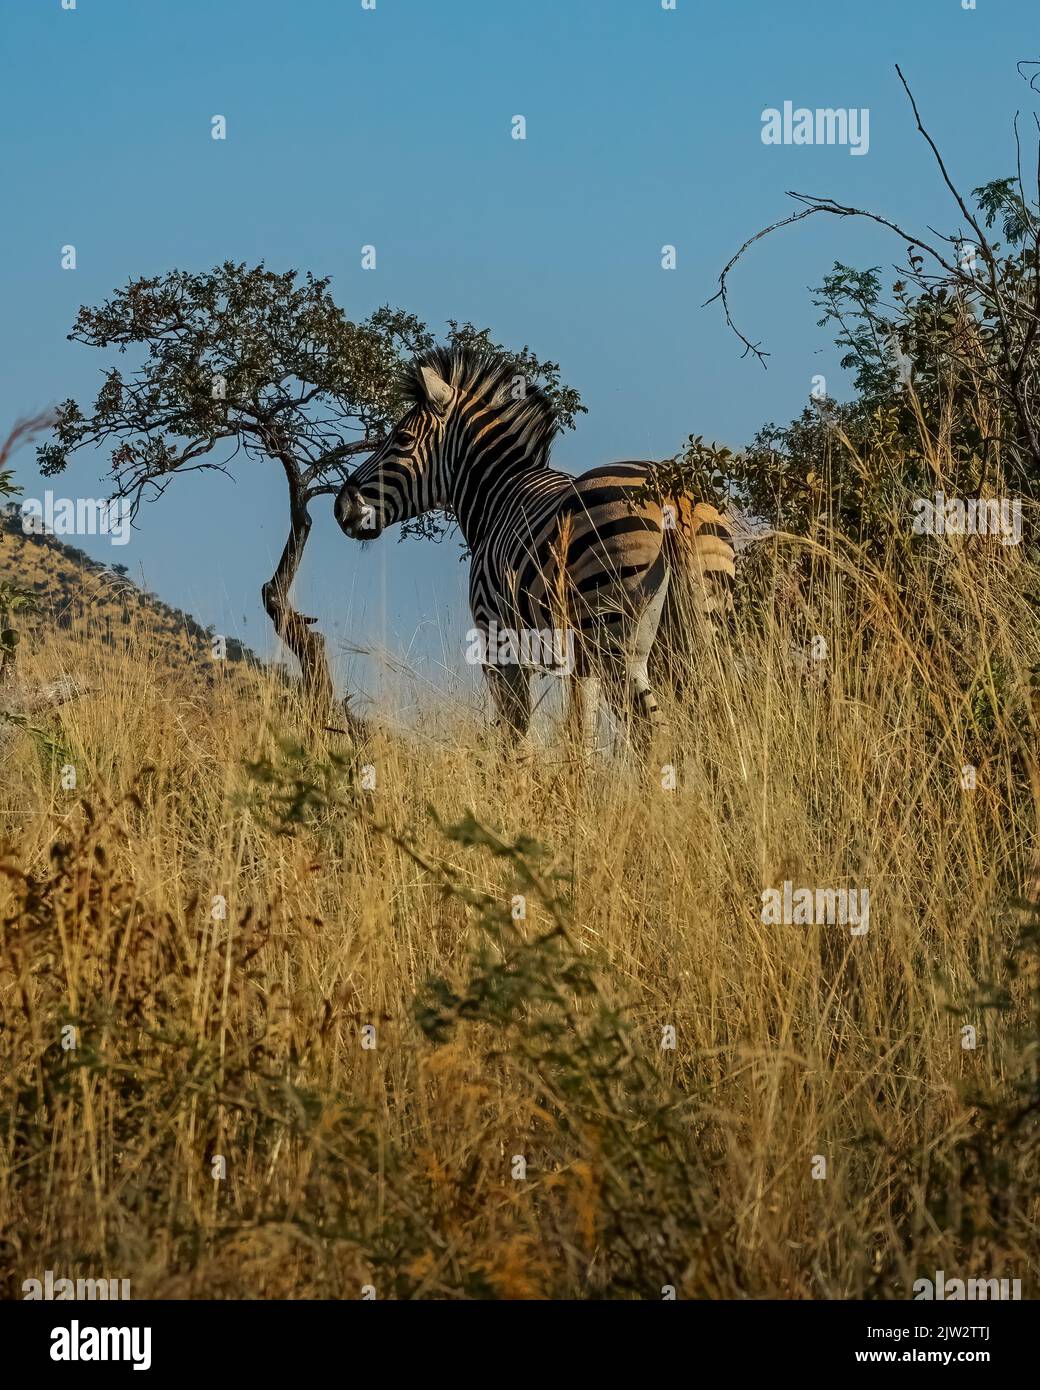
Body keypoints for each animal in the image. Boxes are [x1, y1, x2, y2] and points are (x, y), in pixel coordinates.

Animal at [335, 346, 735, 752]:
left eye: (401, 438)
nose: (342, 506)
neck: (497, 494)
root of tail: (671, 491)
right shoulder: (579, 660)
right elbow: (579, 732)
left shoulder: (497, 641)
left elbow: (516, 735)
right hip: (701, 623)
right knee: (719, 718)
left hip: (617, 635)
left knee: (652, 730)